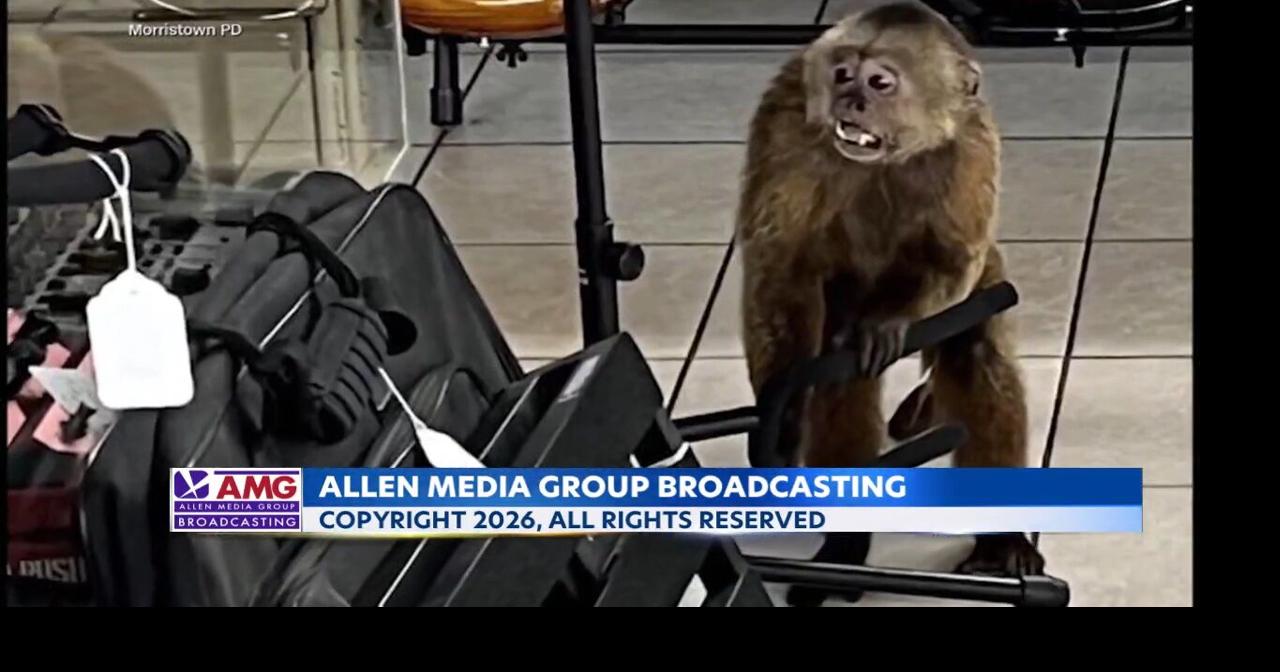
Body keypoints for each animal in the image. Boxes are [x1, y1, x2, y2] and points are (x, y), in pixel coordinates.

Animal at [736, 2, 1044, 606]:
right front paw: (780, 422)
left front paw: (886, 326)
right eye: (842, 76)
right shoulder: (786, 124)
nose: (851, 101)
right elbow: (778, 268)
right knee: (841, 375)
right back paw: (846, 549)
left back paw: (999, 542)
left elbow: (954, 261)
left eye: (880, 83)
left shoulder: (970, 141)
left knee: (975, 351)